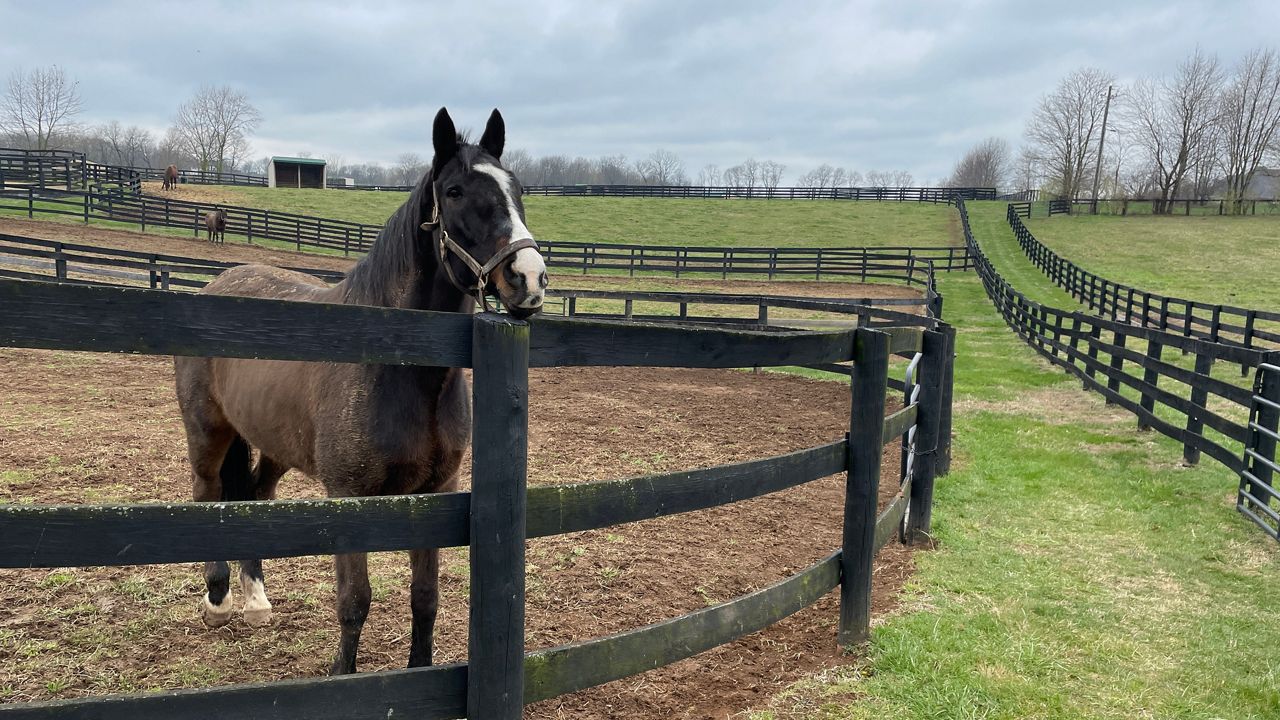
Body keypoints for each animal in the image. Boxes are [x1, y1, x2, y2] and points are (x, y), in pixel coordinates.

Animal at [173, 107, 547, 675]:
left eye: (517, 188)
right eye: (455, 191)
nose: (528, 277)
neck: (398, 369)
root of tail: (216, 284)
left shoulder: (435, 493)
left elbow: (425, 596)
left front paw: (420, 671)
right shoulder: (349, 498)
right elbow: (354, 602)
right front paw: (342, 674)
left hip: (275, 444)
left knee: (255, 496)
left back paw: (256, 598)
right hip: (207, 432)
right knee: (208, 494)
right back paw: (218, 600)